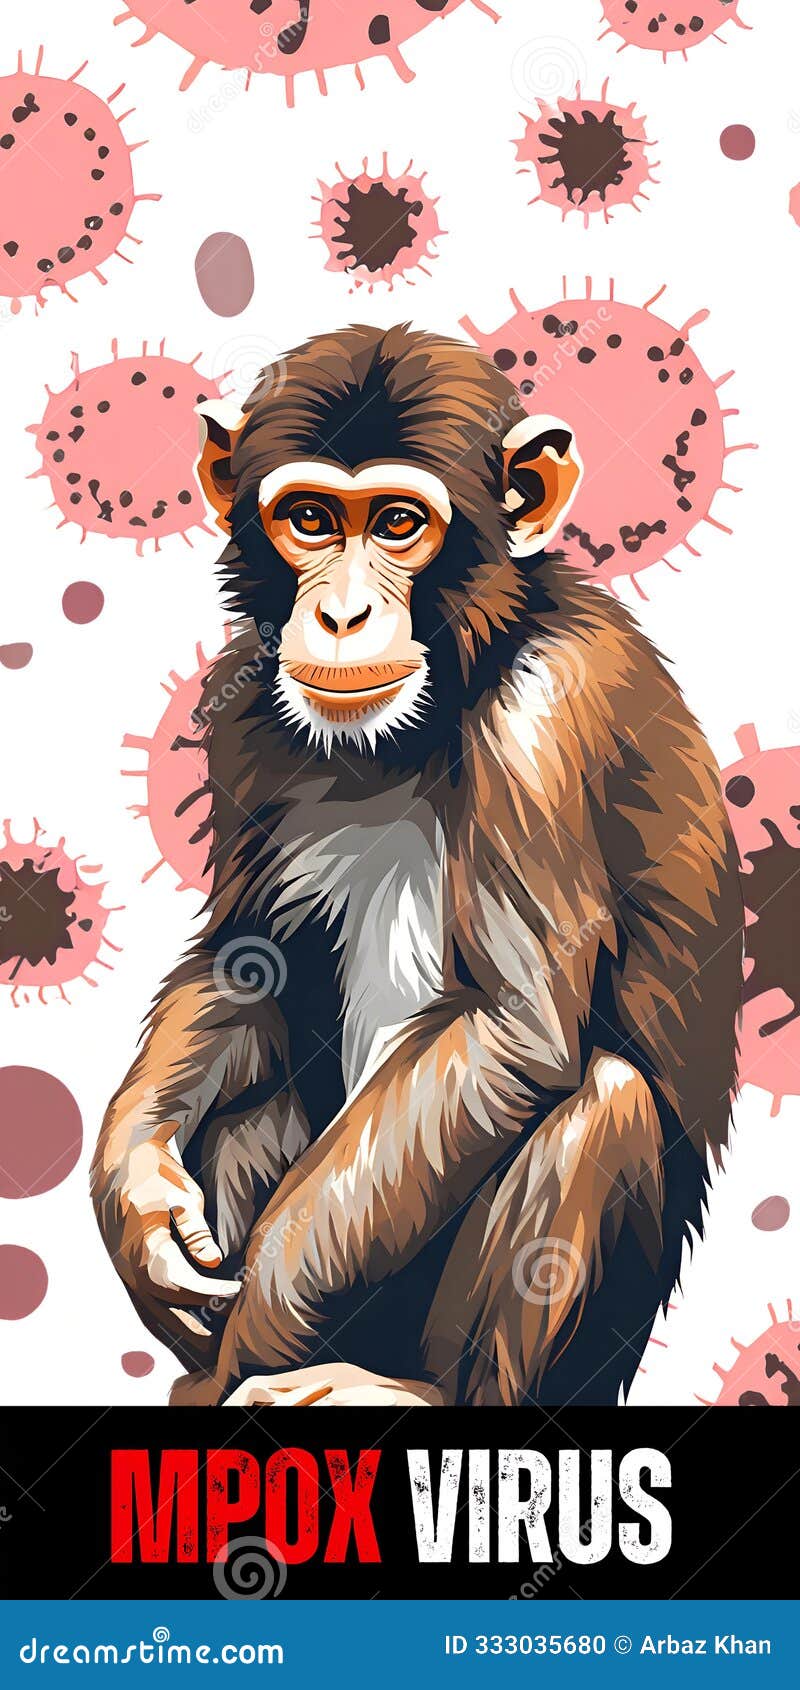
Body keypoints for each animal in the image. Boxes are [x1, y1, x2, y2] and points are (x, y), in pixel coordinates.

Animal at [91, 323, 743, 1408]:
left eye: (399, 523)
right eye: (310, 519)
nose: (344, 615)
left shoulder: (541, 718)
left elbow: (510, 1028)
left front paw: (241, 1344)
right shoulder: (244, 714)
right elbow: (244, 954)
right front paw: (136, 1192)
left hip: (577, 1368)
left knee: (599, 1106)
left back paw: (404, 1393)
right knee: (255, 1092)